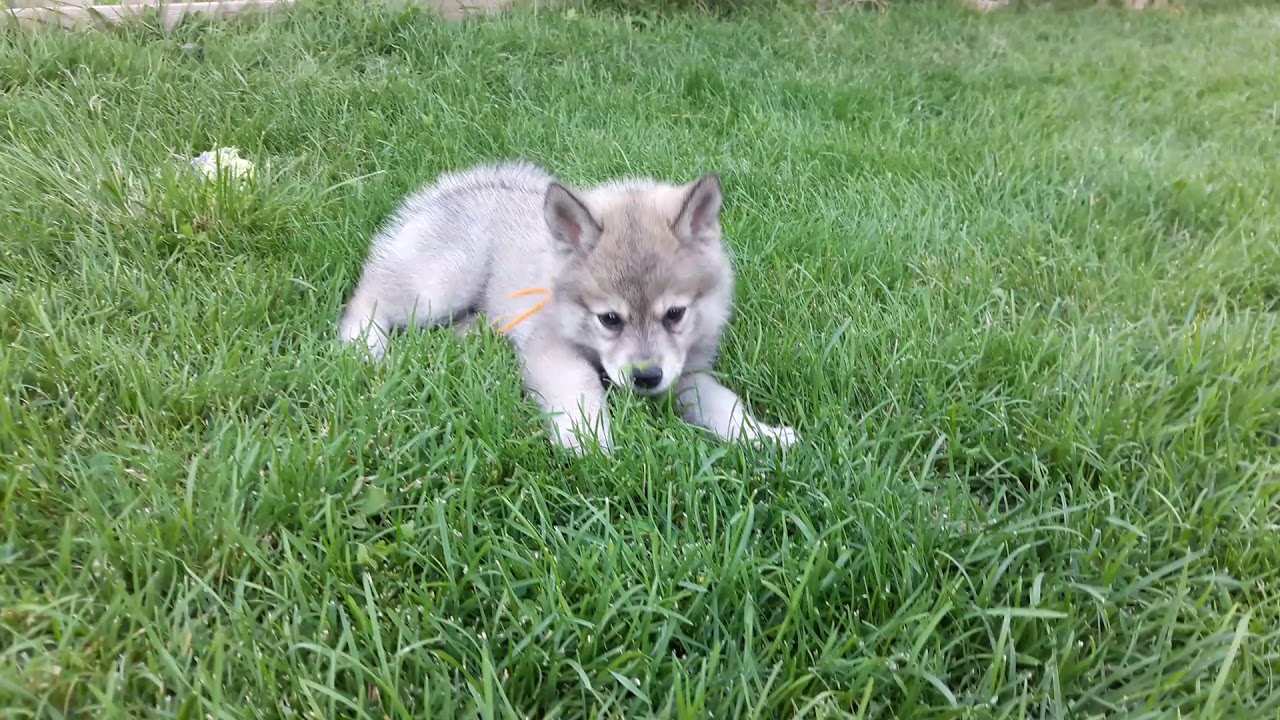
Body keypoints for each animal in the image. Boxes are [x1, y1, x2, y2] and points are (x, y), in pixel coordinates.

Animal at [337, 160, 798, 454]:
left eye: (675, 314)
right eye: (609, 319)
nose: (646, 378)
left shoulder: (685, 374)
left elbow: (724, 403)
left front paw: (763, 435)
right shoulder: (552, 350)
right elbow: (580, 387)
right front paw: (590, 442)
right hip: (438, 288)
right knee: (370, 297)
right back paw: (365, 348)